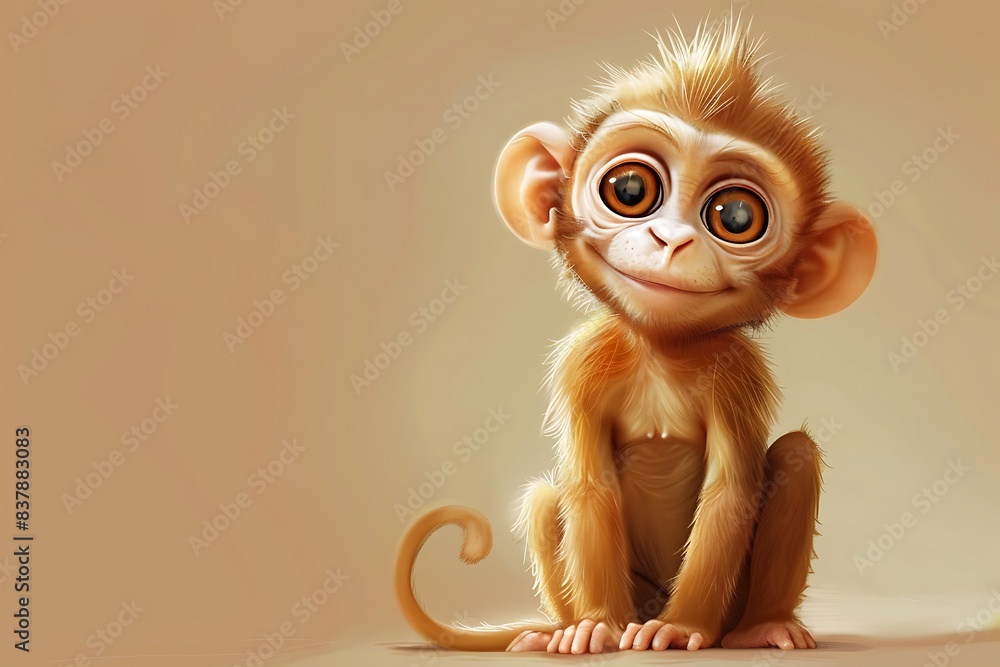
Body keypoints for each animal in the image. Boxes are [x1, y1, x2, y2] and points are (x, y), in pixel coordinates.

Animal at [395, 15, 877, 654]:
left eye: (736, 217)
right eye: (629, 190)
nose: (671, 240)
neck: (659, 352)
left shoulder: (739, 373)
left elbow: (728, 493)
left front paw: (681, 628)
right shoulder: (581, 362)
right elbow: (589, 487)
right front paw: (595, 625)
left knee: (796, 455)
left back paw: (760, 626)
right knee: (546, 497)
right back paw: (559, 629)